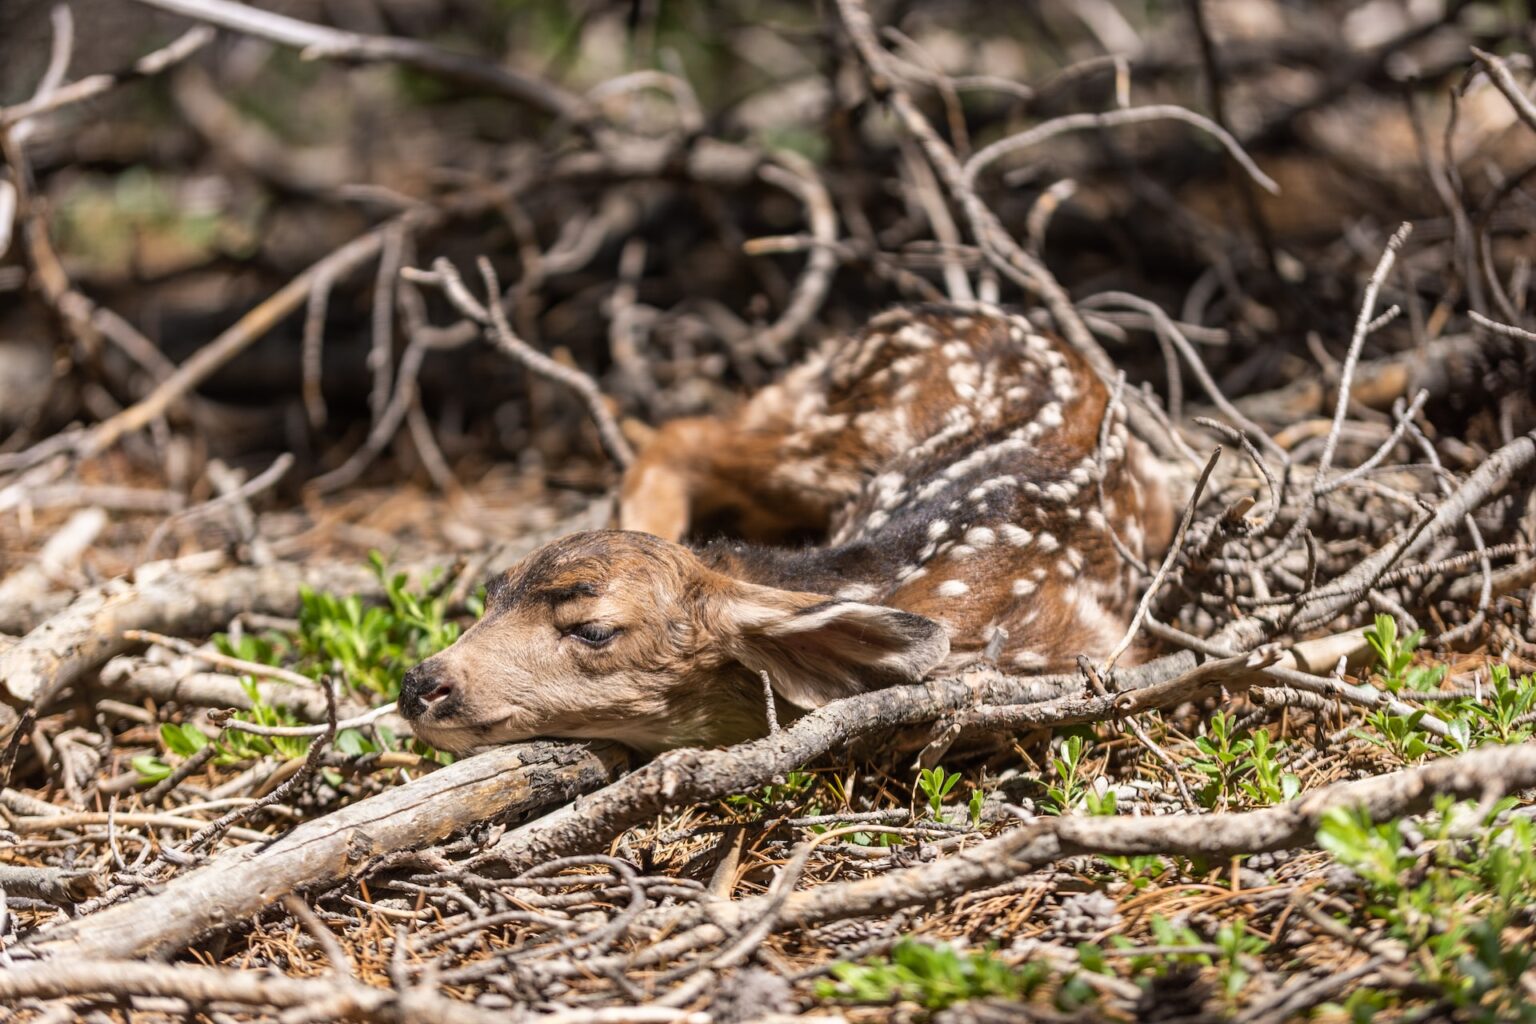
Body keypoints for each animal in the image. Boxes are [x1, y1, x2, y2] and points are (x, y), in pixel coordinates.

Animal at [399, 305, 1174, 753]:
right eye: (491, 594)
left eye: (592, 630)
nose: (419, 684)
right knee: (689, 433)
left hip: (829, 435)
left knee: (689, 432)